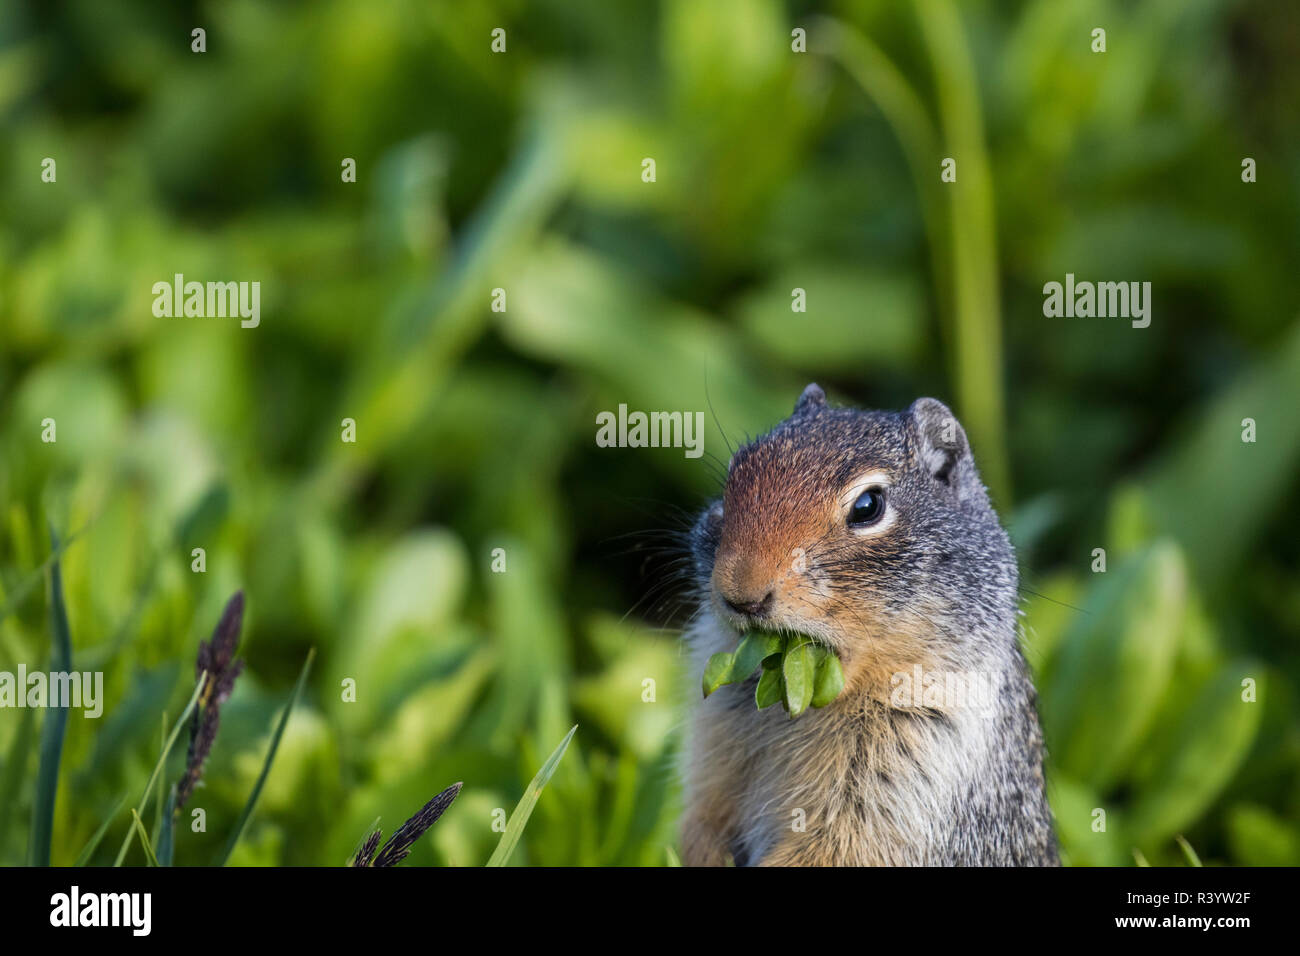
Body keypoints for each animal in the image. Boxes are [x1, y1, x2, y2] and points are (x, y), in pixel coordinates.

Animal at [680, 384, 1059, 866]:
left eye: (867, 506)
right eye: (731, 479)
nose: (741, 594)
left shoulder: (907, 767)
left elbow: (835, 846)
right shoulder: (712, 749)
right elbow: (701, 817)